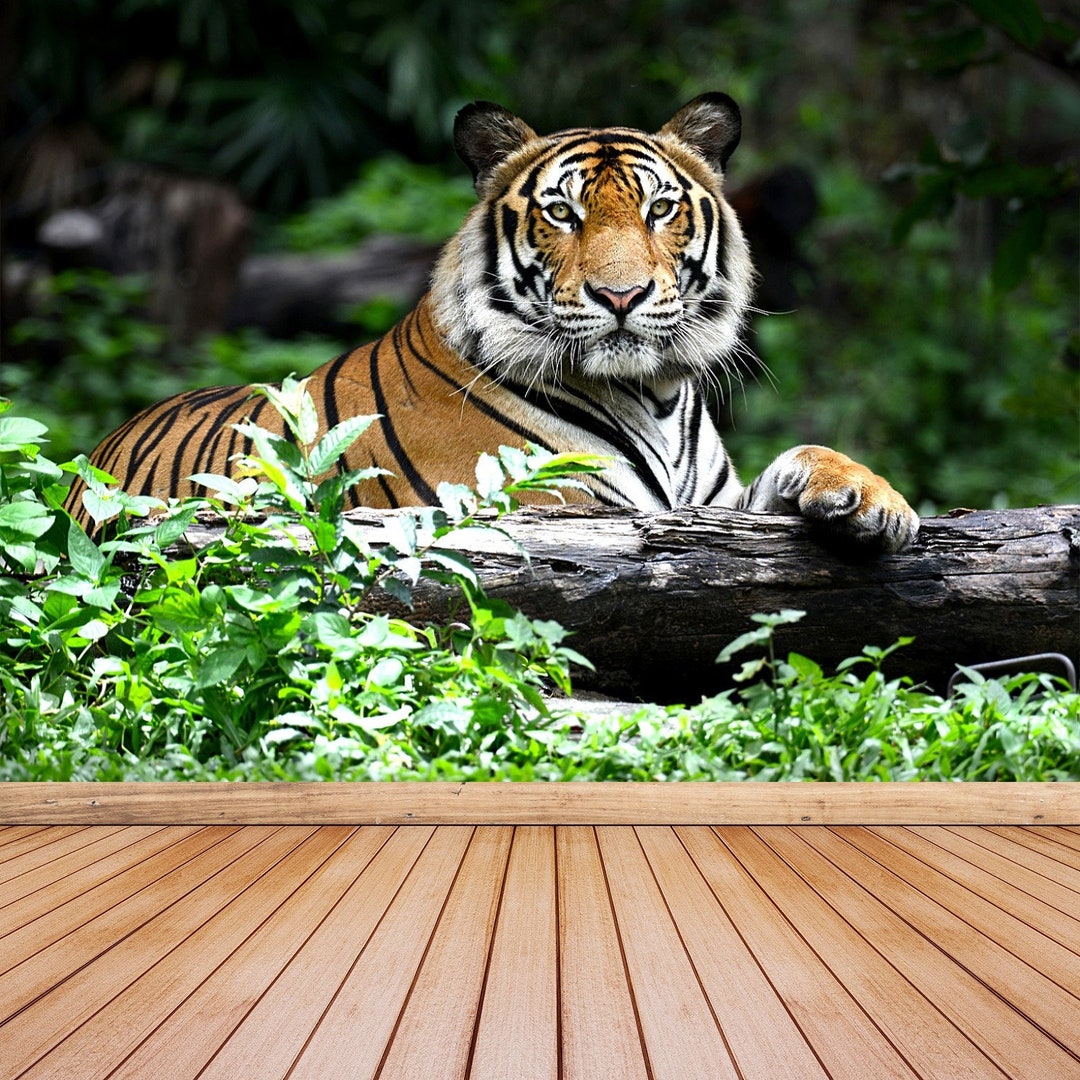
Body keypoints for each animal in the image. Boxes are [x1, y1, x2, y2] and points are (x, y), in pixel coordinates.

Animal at [65, 92, 919, 552]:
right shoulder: (557, 511)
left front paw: (874, 500)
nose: (621, 296)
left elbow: (801, 457)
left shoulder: (713, 507)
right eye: (563, 213)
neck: (655, 394)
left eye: (659, 209)